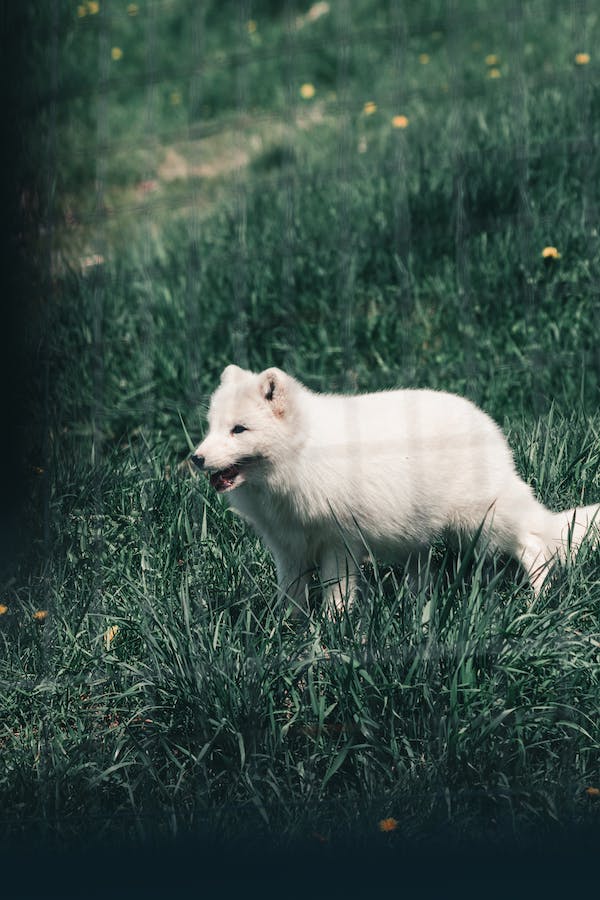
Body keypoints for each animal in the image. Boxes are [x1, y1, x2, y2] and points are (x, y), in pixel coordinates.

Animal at [192, 364, 599, 614]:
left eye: (239, 430)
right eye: (212, 427)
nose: (196, 458)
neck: (301, 457)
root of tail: (487, 424)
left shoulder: (339, 542)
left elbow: (336, 597)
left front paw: (332, 635)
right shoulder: (287, 546)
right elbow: (291, 599)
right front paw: (287, 634)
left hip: (483, 522)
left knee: (536, 546)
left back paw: (534, 604)